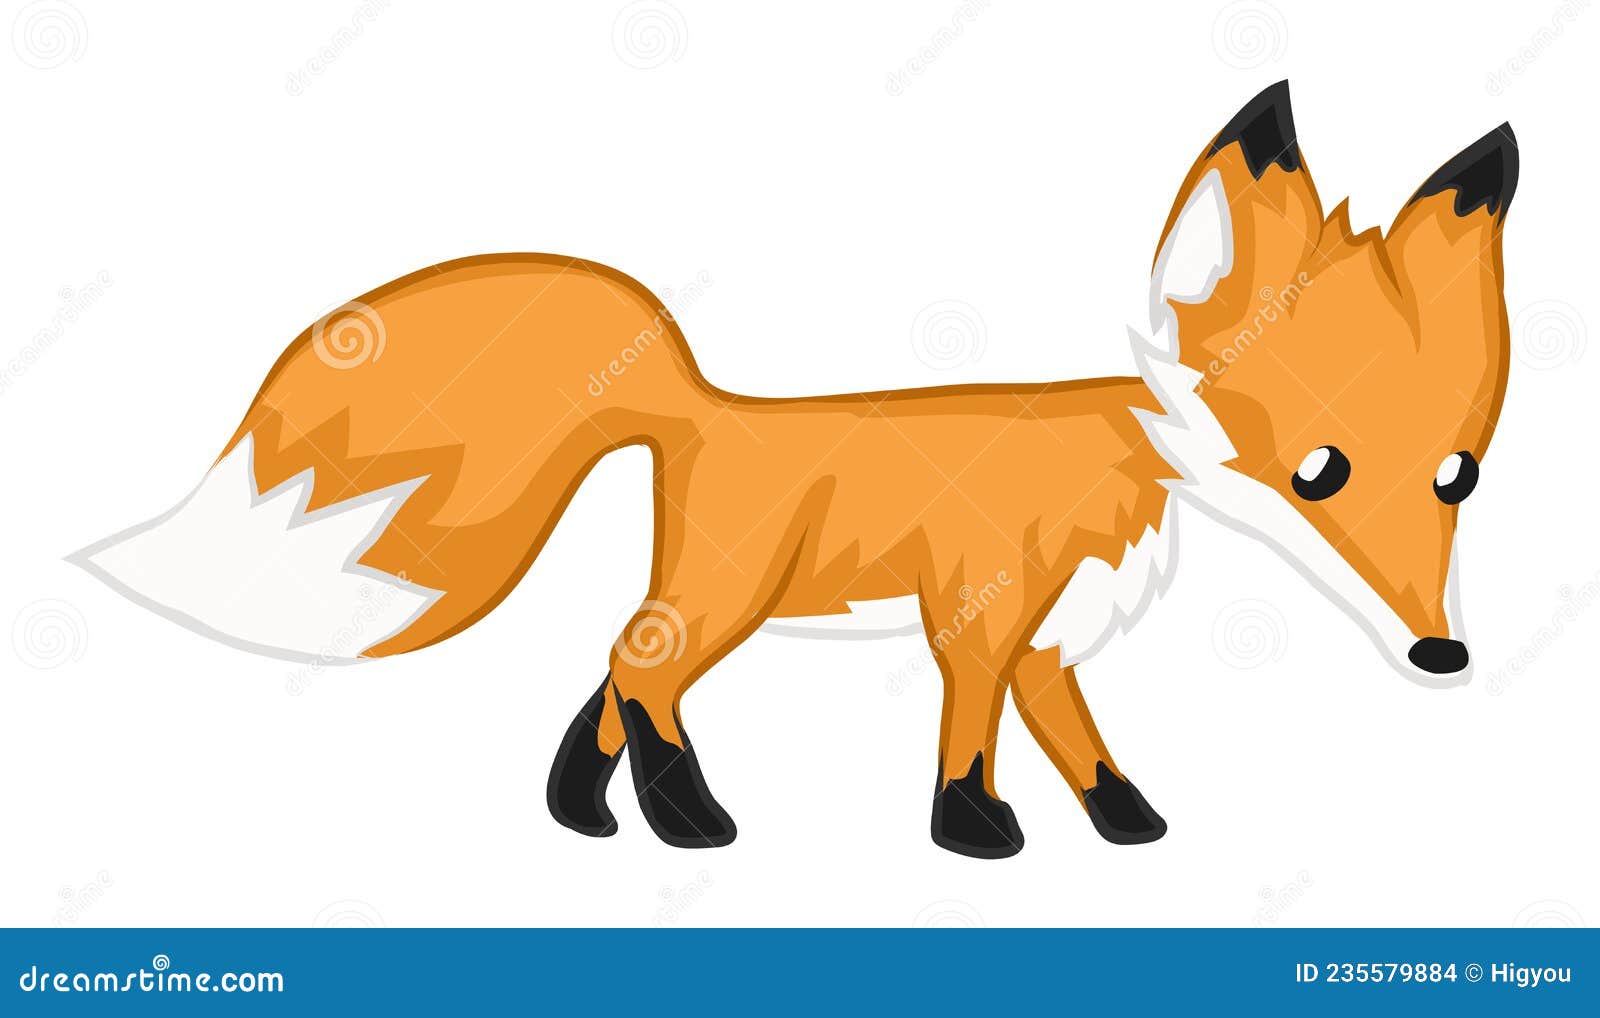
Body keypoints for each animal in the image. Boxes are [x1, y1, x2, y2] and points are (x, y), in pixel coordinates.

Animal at [74, 81, 1516, 858]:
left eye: (1458, 476)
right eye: (1320, 468)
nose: (1441, 654)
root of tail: (700, 405)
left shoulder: (1053, 636)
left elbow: (1081, 744)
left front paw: (1128, 827)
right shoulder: (983, 609)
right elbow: (972, 731)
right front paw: (973, 834)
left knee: (614, 666)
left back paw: (585, 813)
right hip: (736, 594)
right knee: (641, 667)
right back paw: (688, 819)